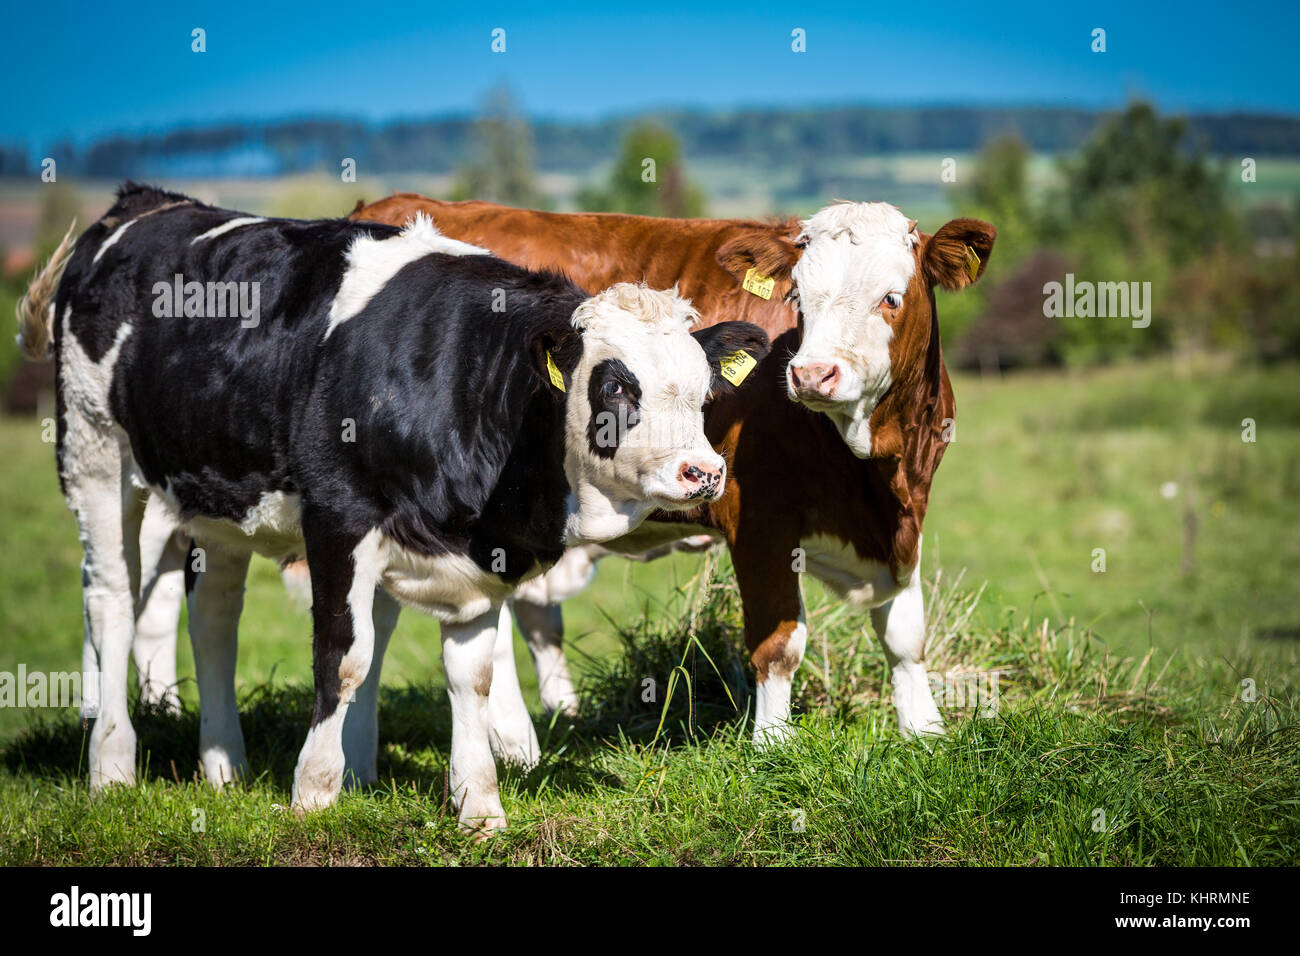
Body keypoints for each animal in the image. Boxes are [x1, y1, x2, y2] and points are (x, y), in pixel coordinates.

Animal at [17, 183, 770, 831]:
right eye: (615, 385)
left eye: (704, 390)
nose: (704, 471)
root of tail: (145, 201)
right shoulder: (337, 519)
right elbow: (343, 656)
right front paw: (314, 792)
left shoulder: (481, 554)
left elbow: (472, 675)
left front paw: (479, 808)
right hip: (96, 457)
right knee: (112, 599)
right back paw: (113, 766)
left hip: (218, 498)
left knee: (214, 619)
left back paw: (225, 765)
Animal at [349, 195, 996, 746]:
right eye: (798, 300)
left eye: (891, 298)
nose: (812, 373)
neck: (875, 469)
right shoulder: (760, 520)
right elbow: (778, 643)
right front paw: (773, 746)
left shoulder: (905, 519)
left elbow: (906, 634)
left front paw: (925, 731)